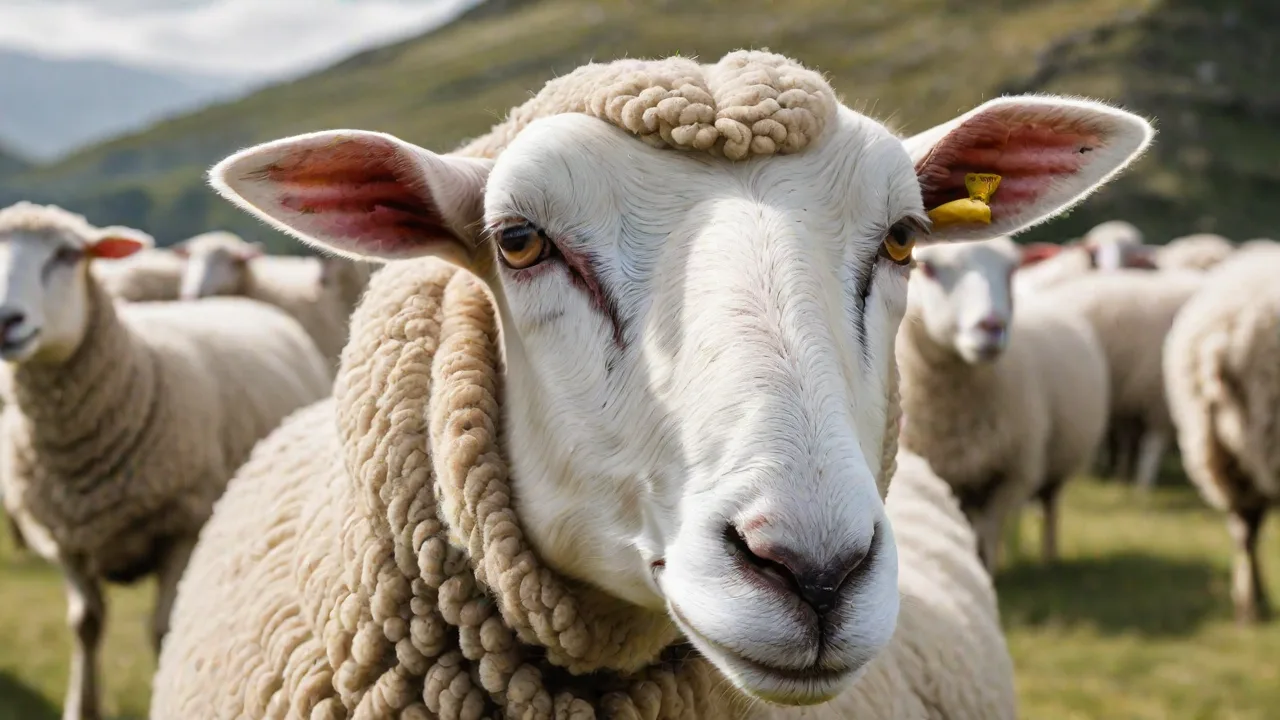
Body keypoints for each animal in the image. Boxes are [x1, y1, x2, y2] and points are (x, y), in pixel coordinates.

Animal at [0, 201, 334, 720]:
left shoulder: (182, 526)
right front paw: (82, 705)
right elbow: (86, 624)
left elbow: (163, 629)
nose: (5, 320)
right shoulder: (65, 539)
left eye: (68, 254)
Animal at [898, 236, 1110, 573]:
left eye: (1011, 270)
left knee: (1048, 507)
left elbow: (985, 536)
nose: (991, 326)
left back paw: (1048, 557)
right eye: (928, 268)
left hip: (1054, 468)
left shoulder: (1009, 477)